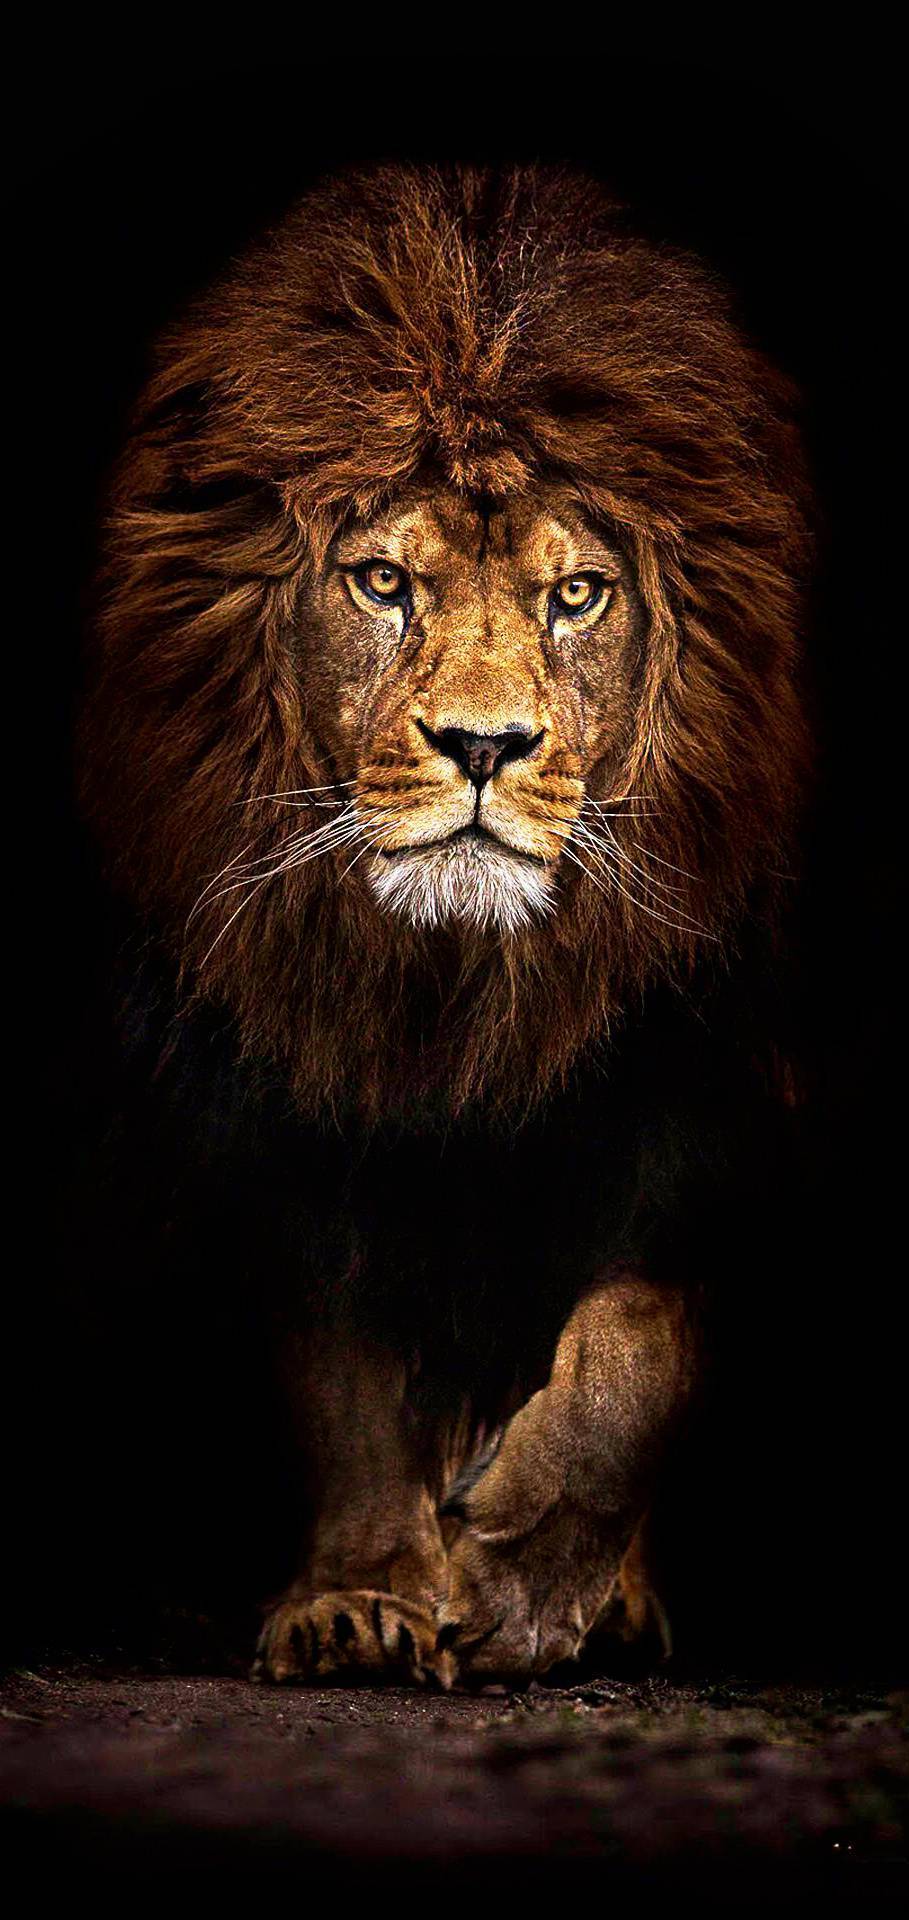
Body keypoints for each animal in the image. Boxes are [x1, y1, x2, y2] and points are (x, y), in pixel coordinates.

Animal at [82, 164, 810, 1685]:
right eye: (382, 582)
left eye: (576, 593)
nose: (483, 745)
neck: (455, 988)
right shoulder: (283, 1088)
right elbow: (343, 1367)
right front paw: (364, 1594)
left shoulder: (714, 1074)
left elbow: (638, 1339)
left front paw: (528, 1581)